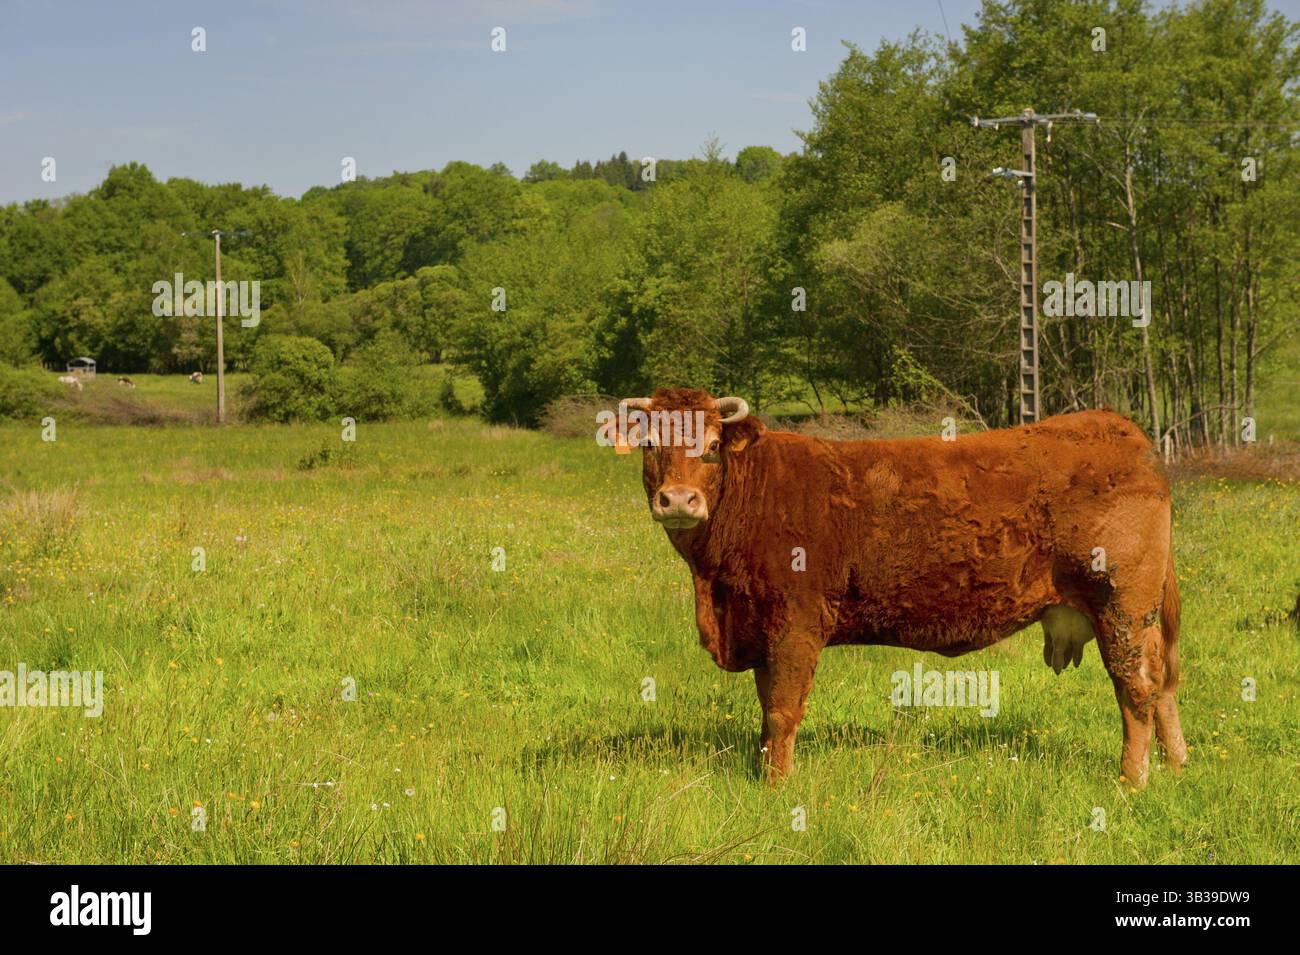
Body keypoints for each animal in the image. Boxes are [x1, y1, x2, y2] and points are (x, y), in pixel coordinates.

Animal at [603, 387, 1185, 788]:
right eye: (650, 442)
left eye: (712, 446)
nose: (679, 500)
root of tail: (1120, 429)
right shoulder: (762, 629)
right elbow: (767, 708)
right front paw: (765, 772)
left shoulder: (794, 625)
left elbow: (783, 709)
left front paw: (776, 788)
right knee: (1162, 682)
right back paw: (1176, 764)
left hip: (1121, 605)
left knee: (1136, 686)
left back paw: (1132, 780)